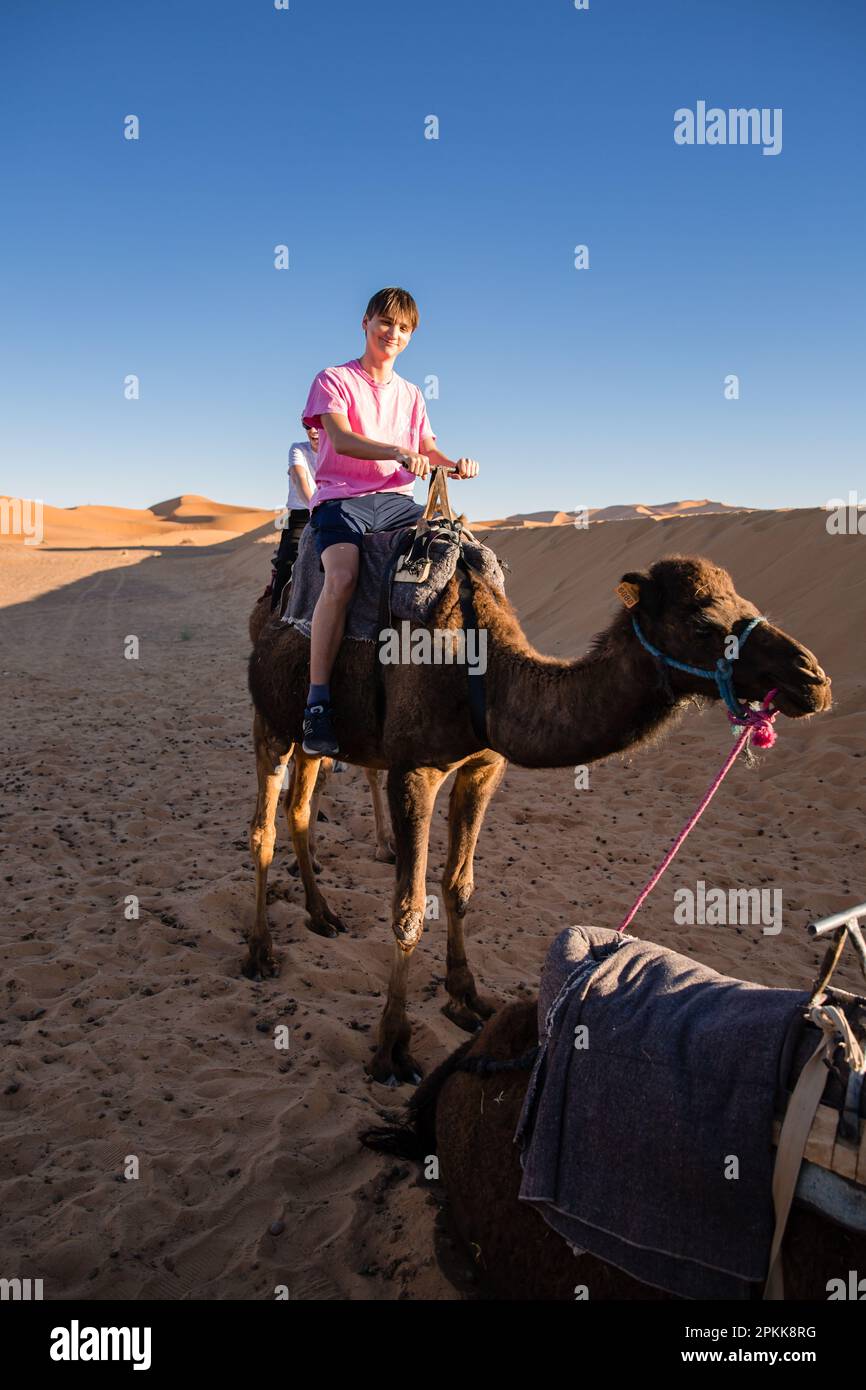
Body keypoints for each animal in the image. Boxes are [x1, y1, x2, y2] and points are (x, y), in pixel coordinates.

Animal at [246, 553, 831, 1085]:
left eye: (747, 605)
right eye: (703, 624)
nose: (813, 678)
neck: (485, 674)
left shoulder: (484, 766)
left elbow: (459, 886)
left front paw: (467, 997)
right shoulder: (412, 772)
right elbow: (408, 910)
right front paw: (392, 1049)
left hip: (314, 738)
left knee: (300, 809)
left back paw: (322, 914)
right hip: (270, 722)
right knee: (264, 829)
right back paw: (261, 952)